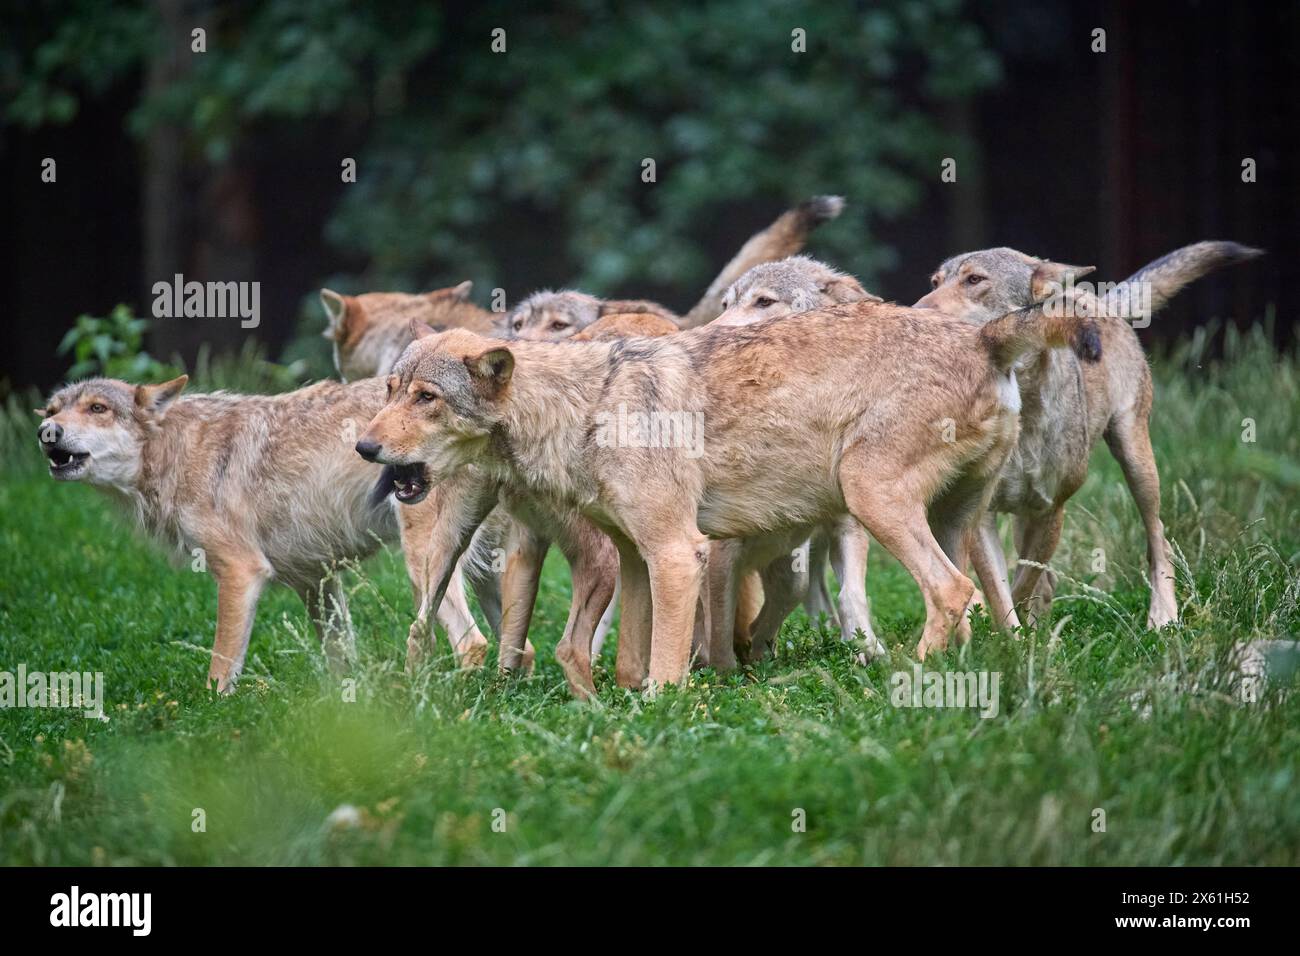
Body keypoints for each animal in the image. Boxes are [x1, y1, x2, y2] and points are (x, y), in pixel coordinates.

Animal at [35, 375, 495, 692]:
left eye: (97, 408)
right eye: (52, 409)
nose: (47, 432)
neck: (177, 452)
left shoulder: (241, 572)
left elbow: (219, 671)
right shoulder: (316, 580)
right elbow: (342, 661)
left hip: (424, 568)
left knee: (472, 643)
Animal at [356, 296, 1101, 690]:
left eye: (426, 398)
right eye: (391, 391)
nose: (364, 448)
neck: (585, 406)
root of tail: (982, 333)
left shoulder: (677, 552)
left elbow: (662, 668)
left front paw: (663, 713)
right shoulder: (637, 559)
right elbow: (626, 660)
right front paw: (620, 709)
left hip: (871, 500)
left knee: (951, 591)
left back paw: (901, 680)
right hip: (955, 523)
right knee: (975, 607)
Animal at [914, 240, 1262, 628]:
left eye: (974, 280)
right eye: (934, 282)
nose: (914, 312)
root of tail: (1096, 299)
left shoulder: (1052, 510)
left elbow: (1021, 586)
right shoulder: (979, 516)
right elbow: (1001, 590)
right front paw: (1010, 635)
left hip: (1136, 462)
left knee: (1159, 539)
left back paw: (1162, 617)